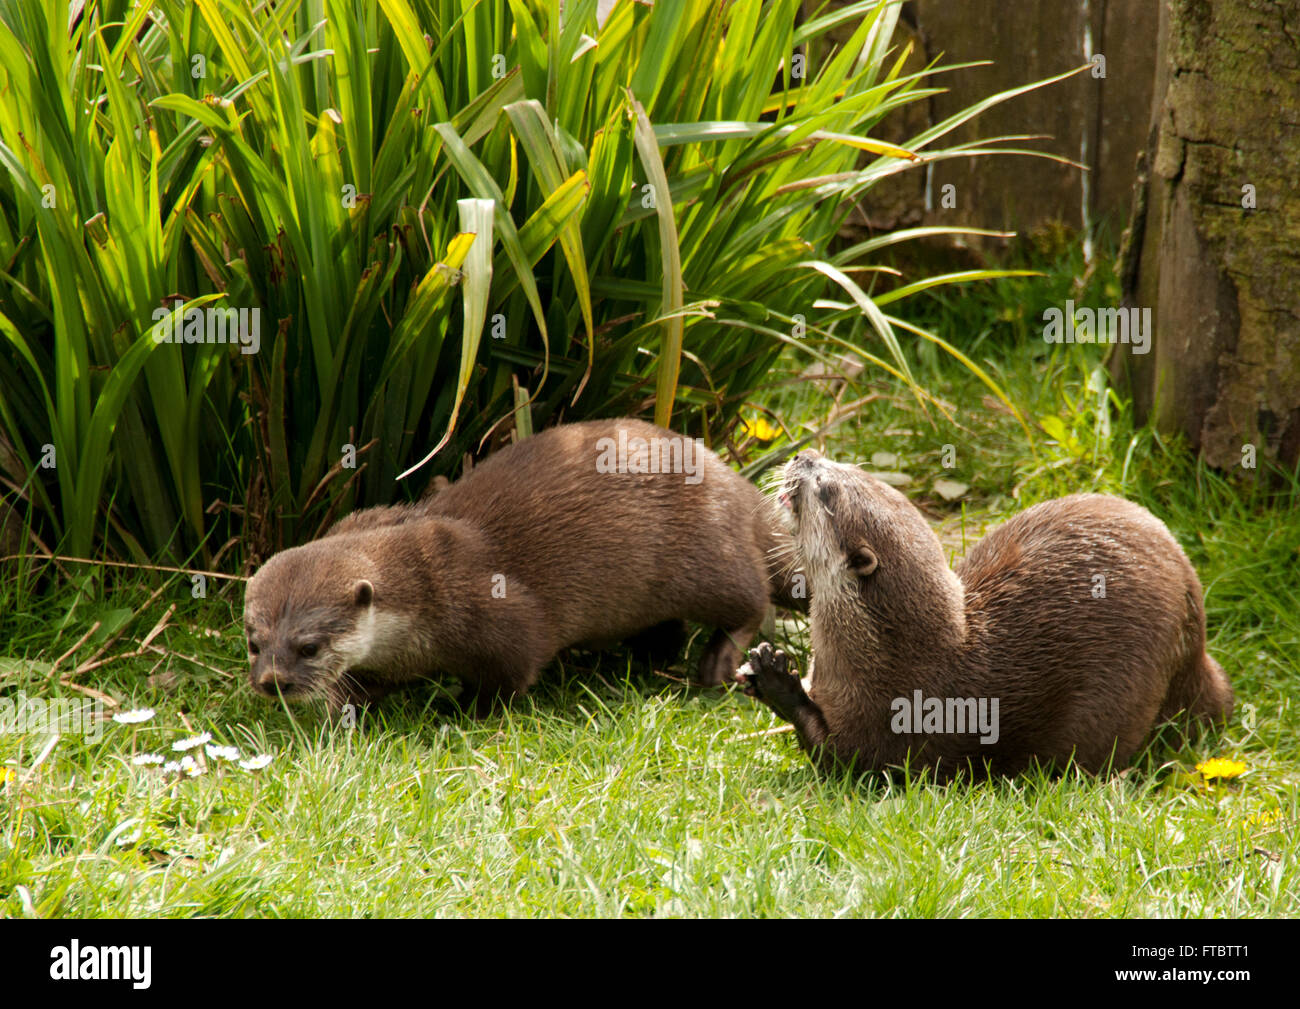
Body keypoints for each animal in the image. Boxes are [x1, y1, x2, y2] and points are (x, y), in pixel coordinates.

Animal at [244, 419, 804, 715]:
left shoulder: (501, 618)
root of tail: (734, 484)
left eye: (309, 646)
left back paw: (716, 664)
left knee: (752, 599)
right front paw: (343, 707)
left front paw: (460, 709)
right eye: (254, 642)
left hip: (710, 559)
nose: (272, 682)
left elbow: (513, 672)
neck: (423, 592)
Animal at [739, 450, 1232, 779]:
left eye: (827, 489)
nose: (803, 454)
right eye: (846, 466)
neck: (880, 654)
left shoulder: (882, 732)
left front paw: (775, 679)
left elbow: (836, 757)